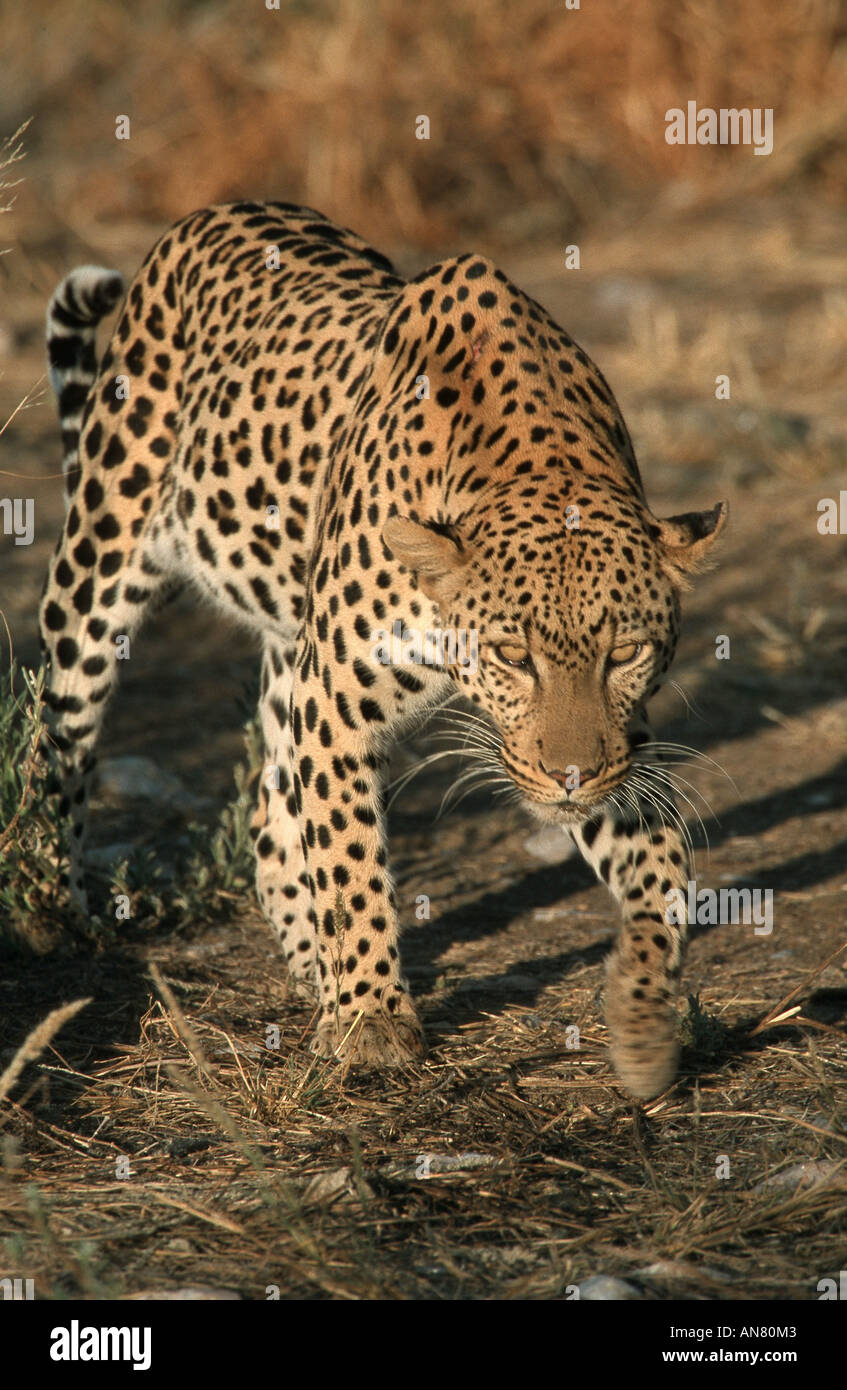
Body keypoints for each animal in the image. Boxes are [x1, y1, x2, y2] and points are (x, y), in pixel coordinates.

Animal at [40, 200, 726, 1100]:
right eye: (513, 655)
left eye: (624, 654)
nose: (569, 779)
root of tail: (219, 210)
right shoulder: (336, 699)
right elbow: (350, 858)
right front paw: (370, 1021)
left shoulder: (619, 743)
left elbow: (663, 873)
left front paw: (643, 1024)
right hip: (100, 561)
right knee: (61, 731)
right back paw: (55, 902)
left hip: (289, 644)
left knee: (270, 810)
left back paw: (308, 960)